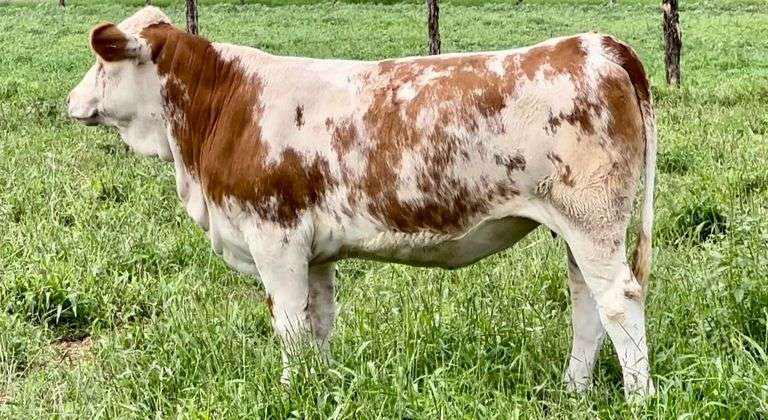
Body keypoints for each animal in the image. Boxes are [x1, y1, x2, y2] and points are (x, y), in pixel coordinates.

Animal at [67, 7, 657, 397]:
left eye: (101, 61)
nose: (71, 100)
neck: (222, 106)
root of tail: (592, 44)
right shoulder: (313, 250)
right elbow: (318, 319)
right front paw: (319, 385)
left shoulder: (274, 236)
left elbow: (289, 324)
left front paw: (291, 392)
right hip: (578, 228)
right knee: (587, 304)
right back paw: (573, 390)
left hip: (593, 220)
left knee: (617, 301)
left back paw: (637, 396)